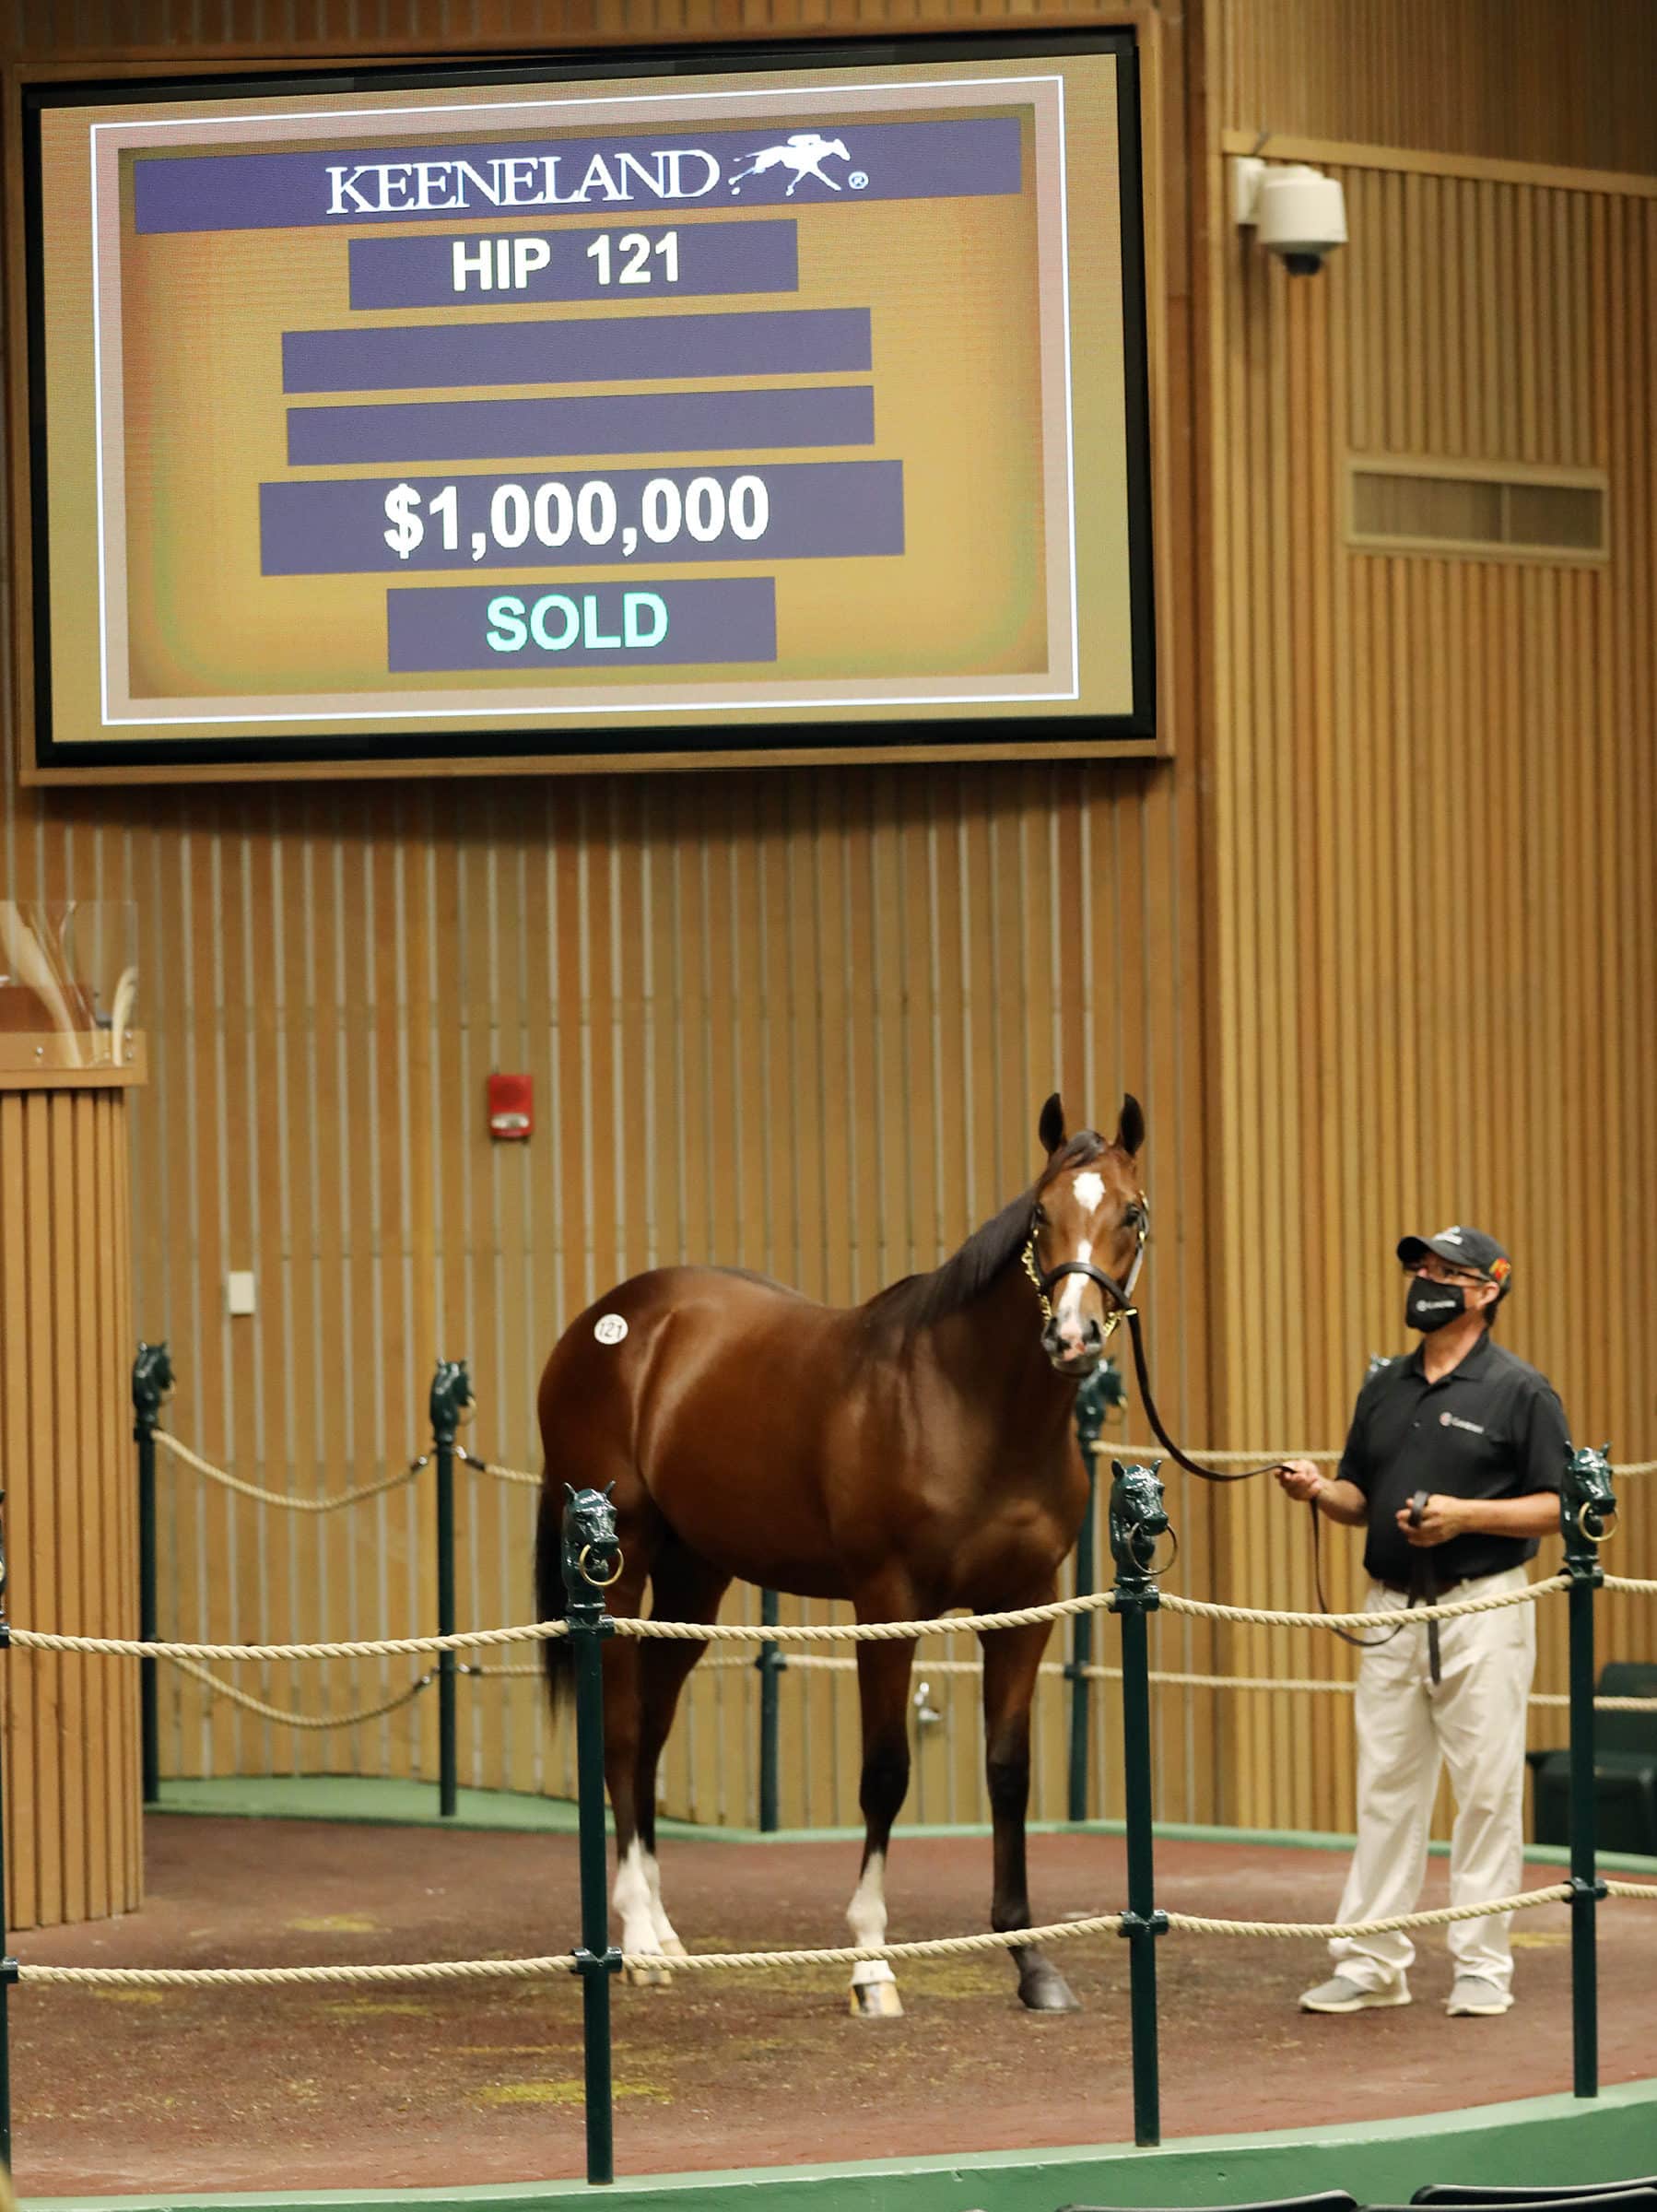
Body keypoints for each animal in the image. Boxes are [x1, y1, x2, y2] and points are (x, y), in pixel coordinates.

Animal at [534, 1091, 1148, 2016]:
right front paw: (870, 1965)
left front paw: (1031, 1961)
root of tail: (604, 1326)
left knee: (651, 1729)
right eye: (1041, 1214)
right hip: (621, 1561)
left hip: (694, 1575)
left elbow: (1008, 1770)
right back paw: (636, 1942)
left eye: (1132, 1215)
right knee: (623, 1729)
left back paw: (666, 1934)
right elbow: (886, 1772)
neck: (968, 1401)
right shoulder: (888, 1604)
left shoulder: (1025, 1606)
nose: (1071, 1337)